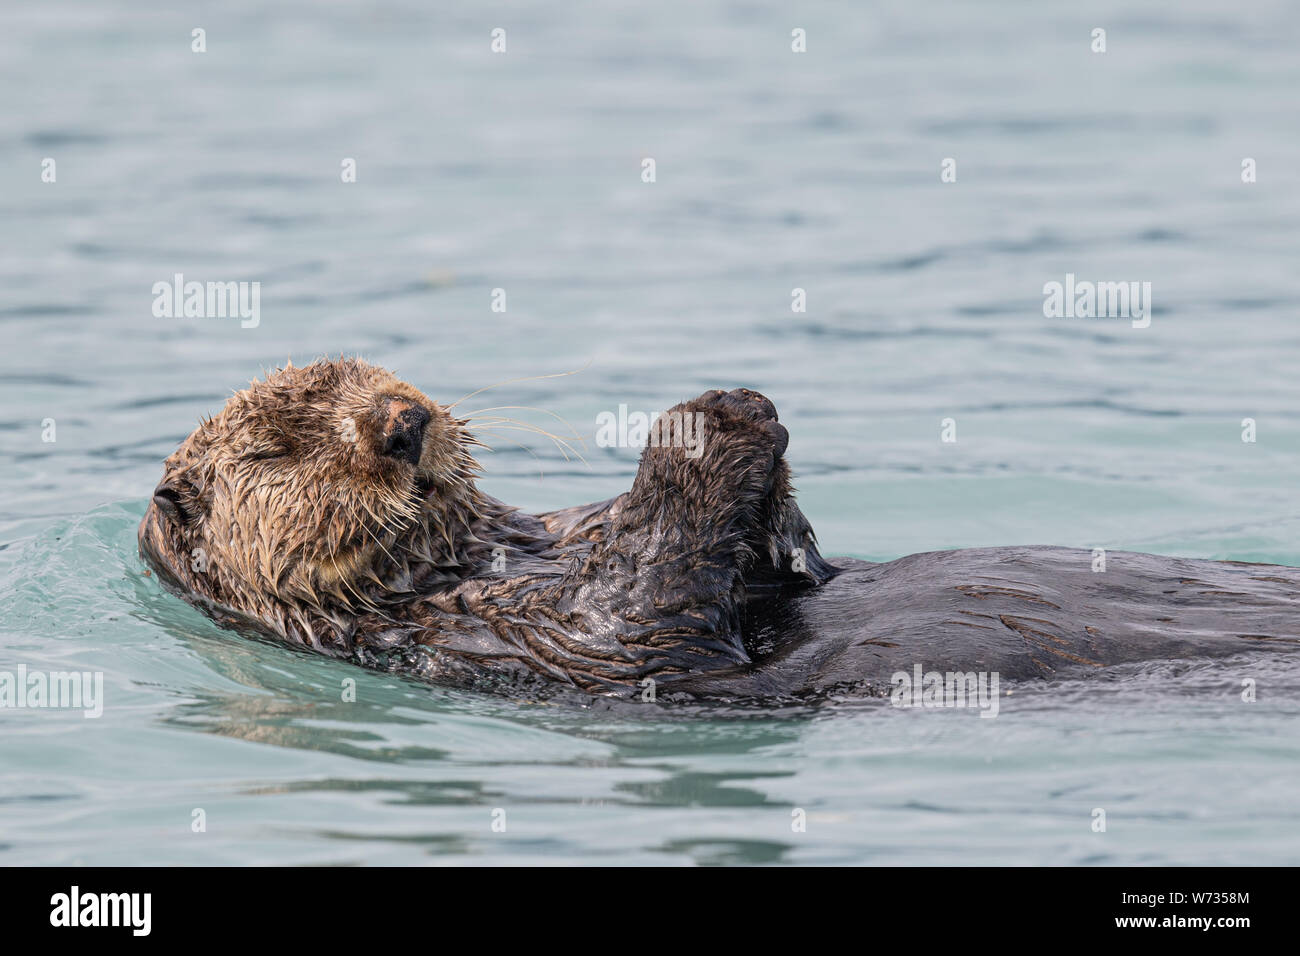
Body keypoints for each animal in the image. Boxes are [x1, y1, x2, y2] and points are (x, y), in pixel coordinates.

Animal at [138, 358, 1300, 701]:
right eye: (272, 453)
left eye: (376, 372)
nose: (401, 421)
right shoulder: (546, 640)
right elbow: (663, 607)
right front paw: (718, 421)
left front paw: (783, 508)